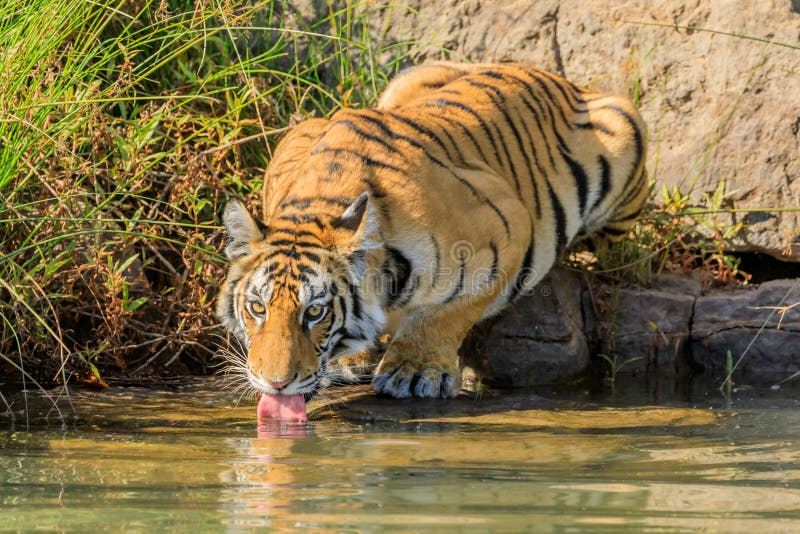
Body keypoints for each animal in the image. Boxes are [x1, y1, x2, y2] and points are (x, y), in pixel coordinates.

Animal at [216, 62, 647, 414]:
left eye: (315, 312)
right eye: (257, 308)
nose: (275, 383)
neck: (317, 205)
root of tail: (564, 81)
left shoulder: (508, 225)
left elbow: (449, 310)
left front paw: (414, 369)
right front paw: (353, 359)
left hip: (625, 134)